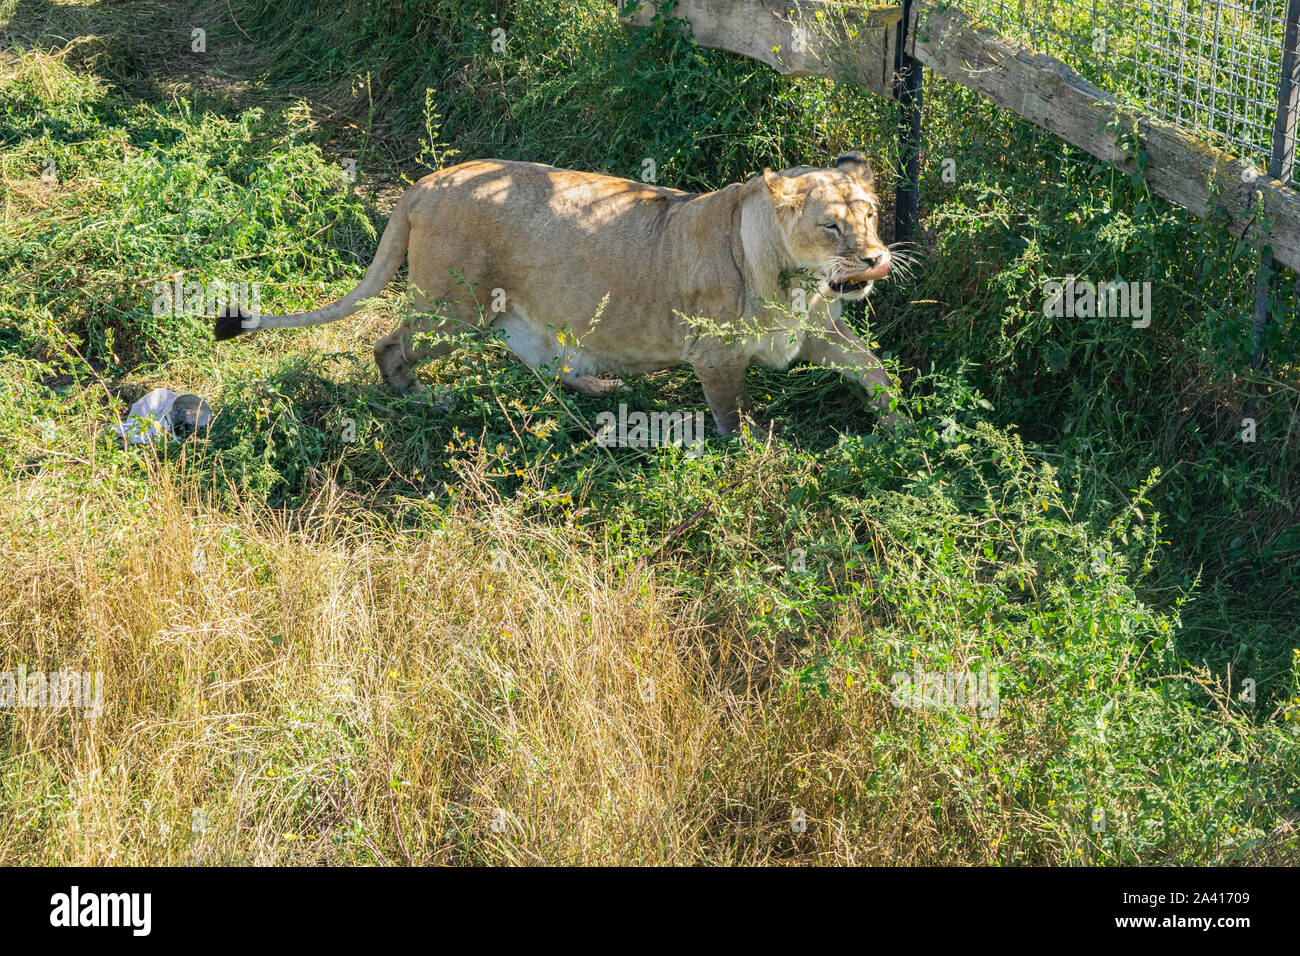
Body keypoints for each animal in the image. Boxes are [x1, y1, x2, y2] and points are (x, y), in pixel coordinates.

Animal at [214, 151, 908, 435]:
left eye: (872, 215)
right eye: (831, 226)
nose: (875, 259)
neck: (796, 283)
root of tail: (425, 183)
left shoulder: (817, 331)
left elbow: (873, 369)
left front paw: (900, 427)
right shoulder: (715, 355)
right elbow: (730, 415)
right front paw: (752, 452)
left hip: (510, 315)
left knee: (538, 360)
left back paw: (600, 387)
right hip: (454, 310)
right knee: (389, 347)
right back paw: (428, 399)